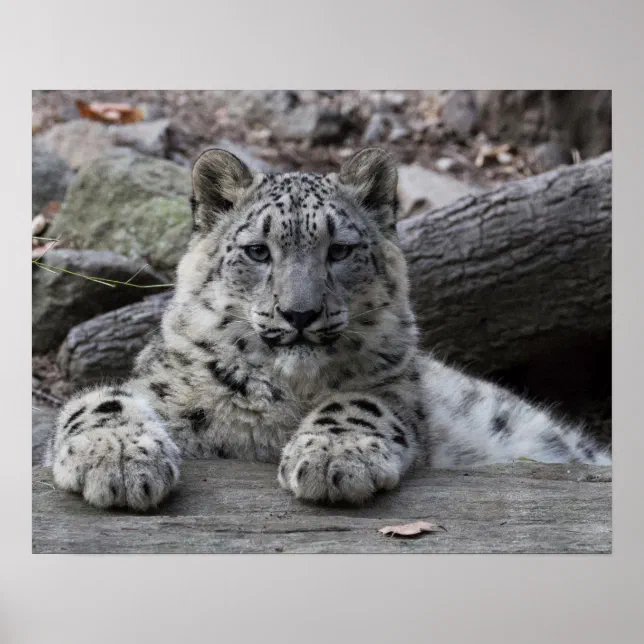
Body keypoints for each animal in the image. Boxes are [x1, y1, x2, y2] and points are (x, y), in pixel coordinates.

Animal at [46, 147, 612, 511]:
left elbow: (362, 401)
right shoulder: (158, 386)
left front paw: (334, 457)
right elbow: (99, 400)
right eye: (257, 250)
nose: (300, 313)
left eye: (339, 250)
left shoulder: (400, 390)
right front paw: (119, 462)